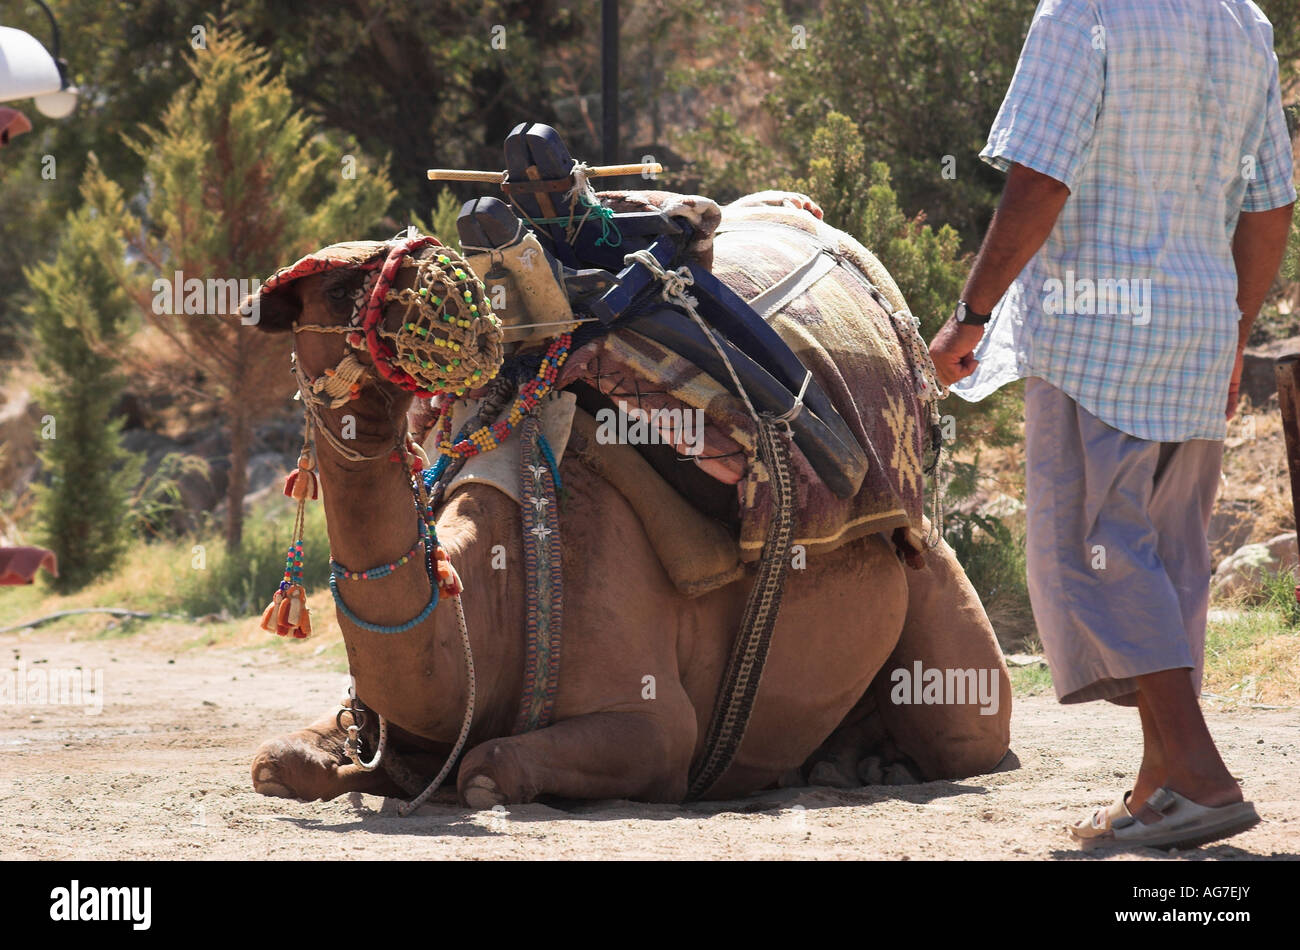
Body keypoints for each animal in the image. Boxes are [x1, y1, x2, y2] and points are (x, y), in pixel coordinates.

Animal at [246, 195, 1012, 809]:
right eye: (339, 283)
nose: (449, 290)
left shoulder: (653, 726)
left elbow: (488, 767)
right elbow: (273, 762)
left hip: (938, 598)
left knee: (966, 729)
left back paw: (874, 764)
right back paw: (843, 762)